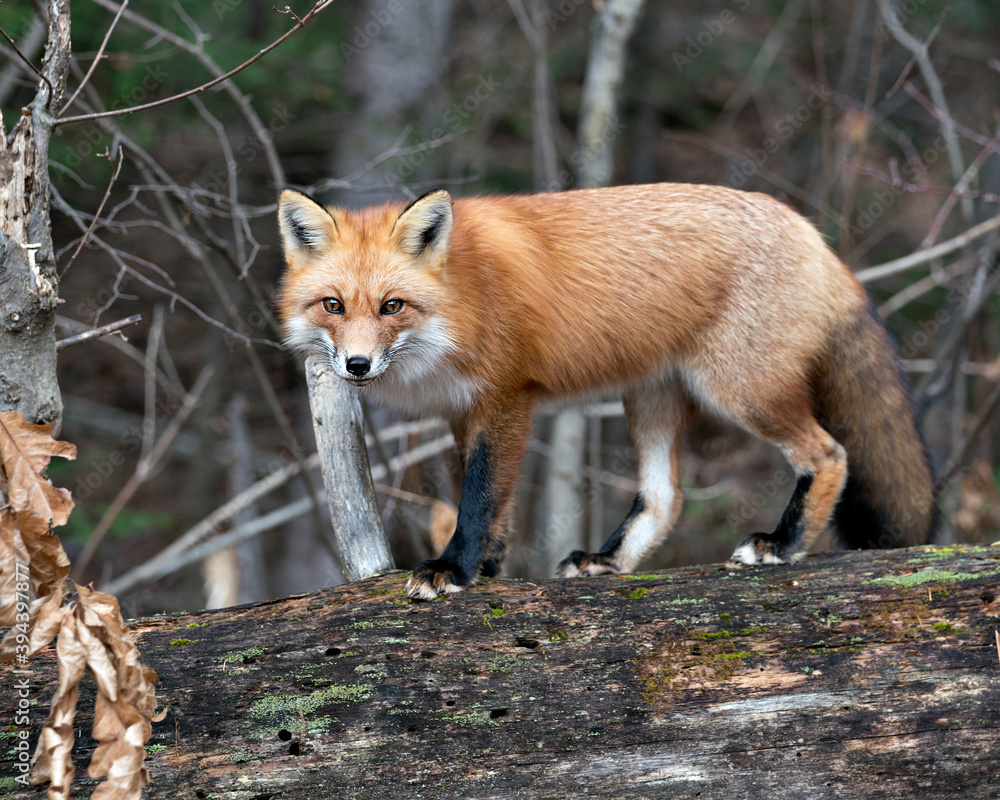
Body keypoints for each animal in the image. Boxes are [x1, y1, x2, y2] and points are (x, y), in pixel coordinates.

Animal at [277, 183, 936, 600]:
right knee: (665, 497)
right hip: (651, 397)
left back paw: (782, 543)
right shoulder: (465, 411)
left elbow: (481, 496)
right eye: (333, 306)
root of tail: (810, 231)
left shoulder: (506, 397)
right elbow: (496, 503)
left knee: (829, 453)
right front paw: (487, 567)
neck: (462, 300)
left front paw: (454, 570)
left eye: (392, 306)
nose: (357, 366)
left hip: (740, 390)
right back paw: (610, 560)